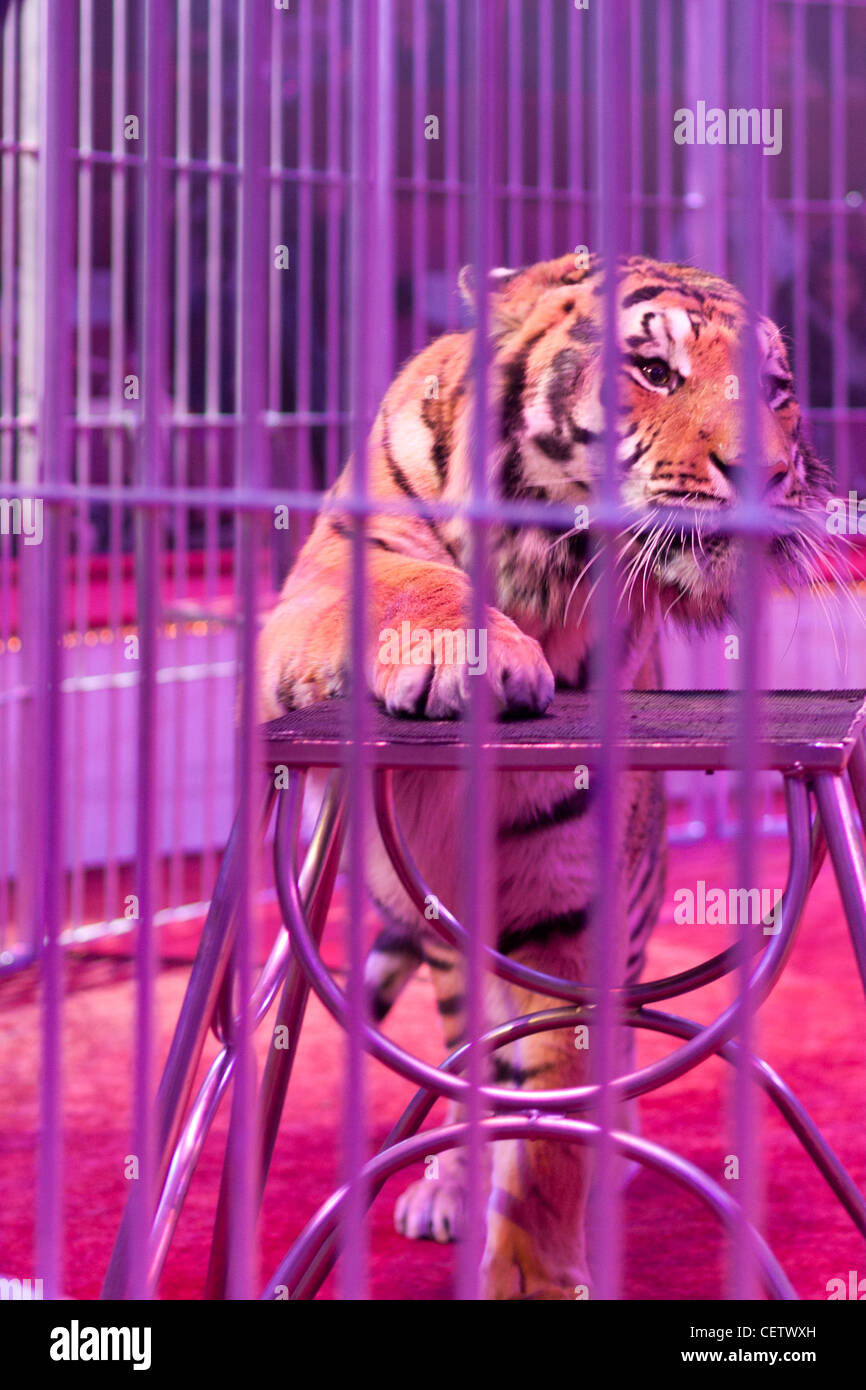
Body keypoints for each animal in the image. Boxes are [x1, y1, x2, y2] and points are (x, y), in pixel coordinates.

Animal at [257, 251, 833, 1299]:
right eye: (653, 370)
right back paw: (446, 1185)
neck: (545, 560)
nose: (770, 476)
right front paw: (471, 657)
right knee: (462, 1056)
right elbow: (414, 582)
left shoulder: (567, 908)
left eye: (777, 389)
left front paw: (534, 1271)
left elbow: (555, 1109)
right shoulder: (331, 575)